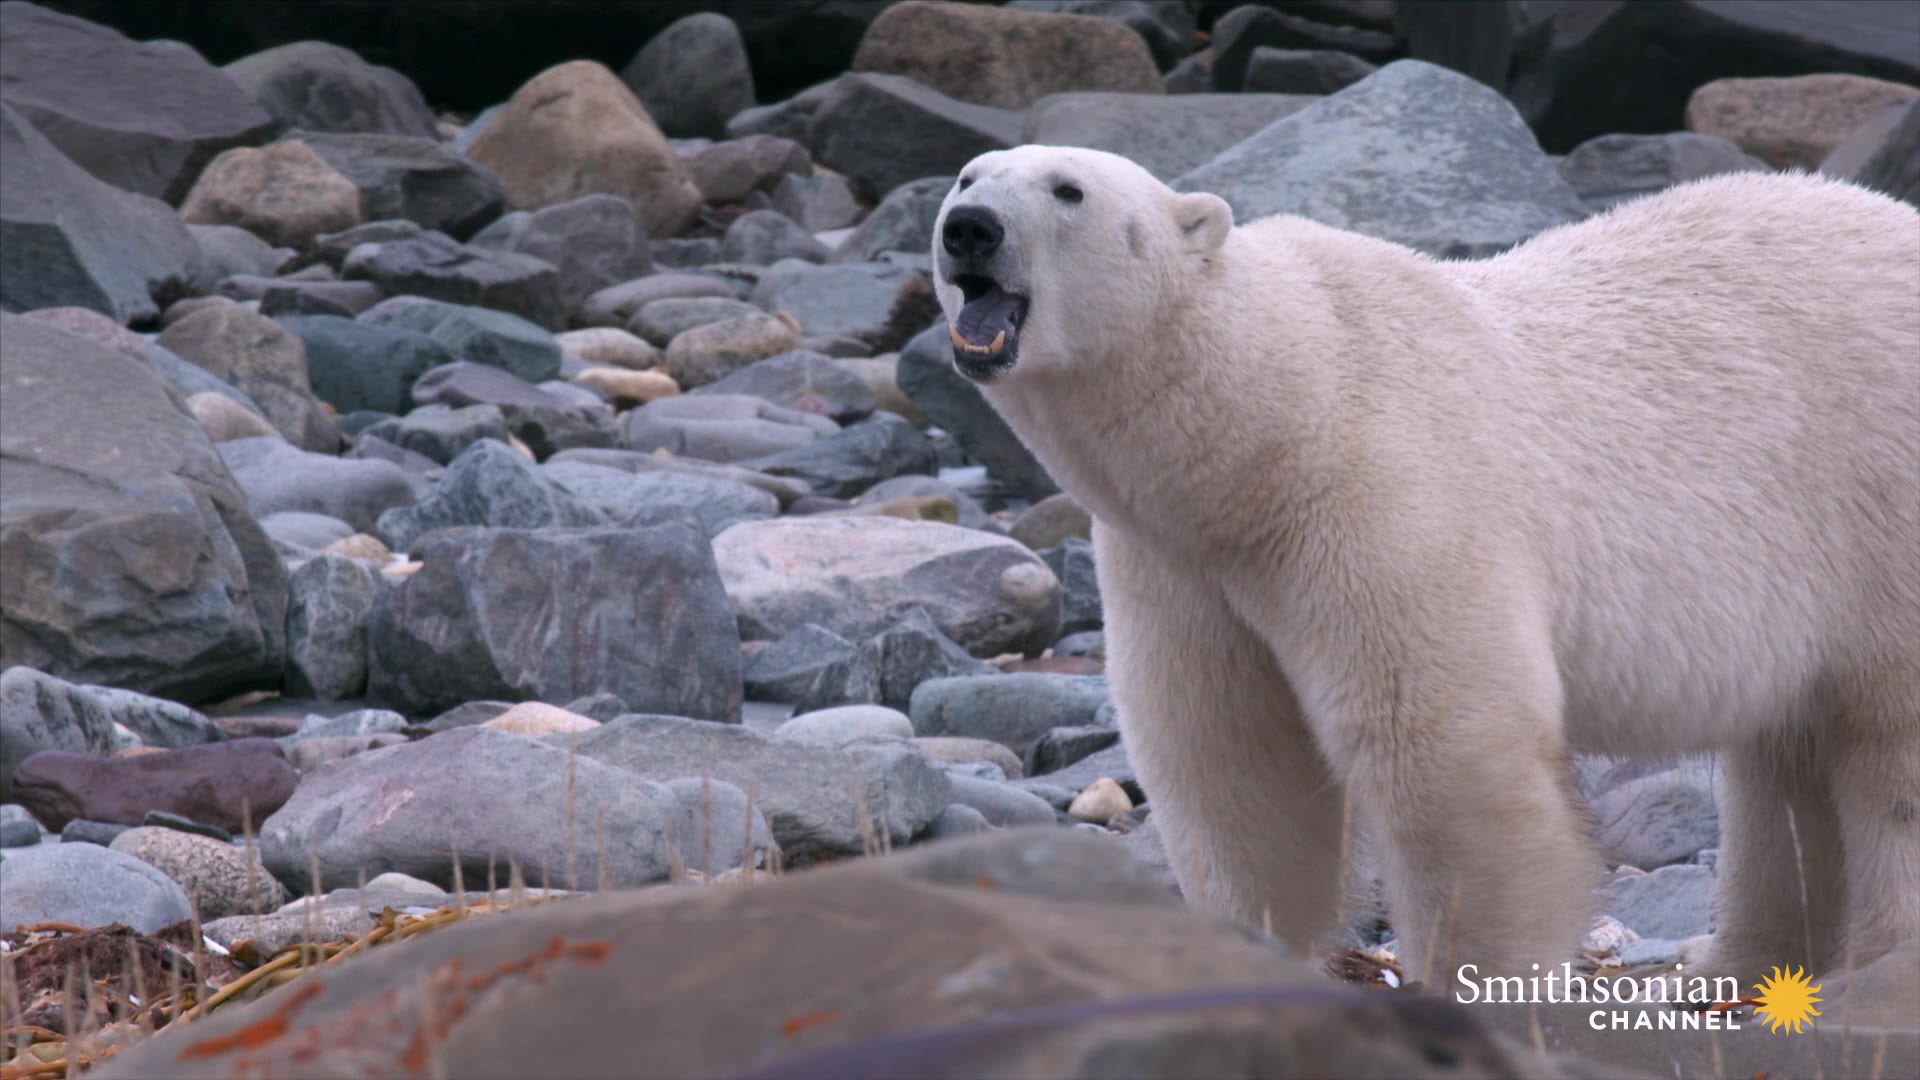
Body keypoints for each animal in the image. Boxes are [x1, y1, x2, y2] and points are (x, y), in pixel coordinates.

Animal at [930, 144, 1920, 990]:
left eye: (1068, 190)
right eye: (968, 175)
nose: (968, 228)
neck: (1276, 424)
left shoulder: (1379, 491)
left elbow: (1440, 746)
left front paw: (1473, 983)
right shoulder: (1182, 566)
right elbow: (1229, 755)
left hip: (1879, 502)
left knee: (1887, 748)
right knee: (1786, 761)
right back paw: (1736, 964)